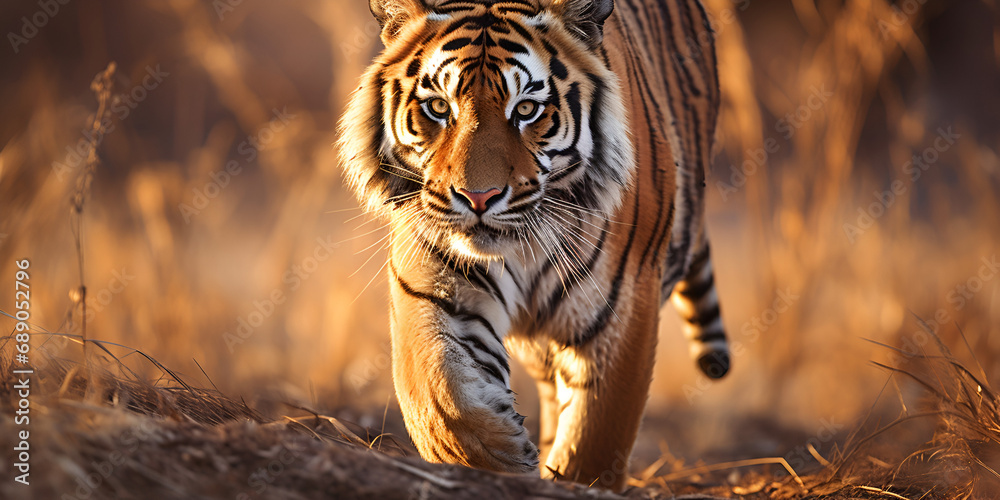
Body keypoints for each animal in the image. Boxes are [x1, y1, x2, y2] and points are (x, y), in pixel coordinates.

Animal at [339, 0, 730, 490]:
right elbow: (437, 394)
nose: (478, 198)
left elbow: (594, 439)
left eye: (525, 109)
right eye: (438, 107)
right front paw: (502, 455)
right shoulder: (433, 283)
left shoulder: (623, 306)